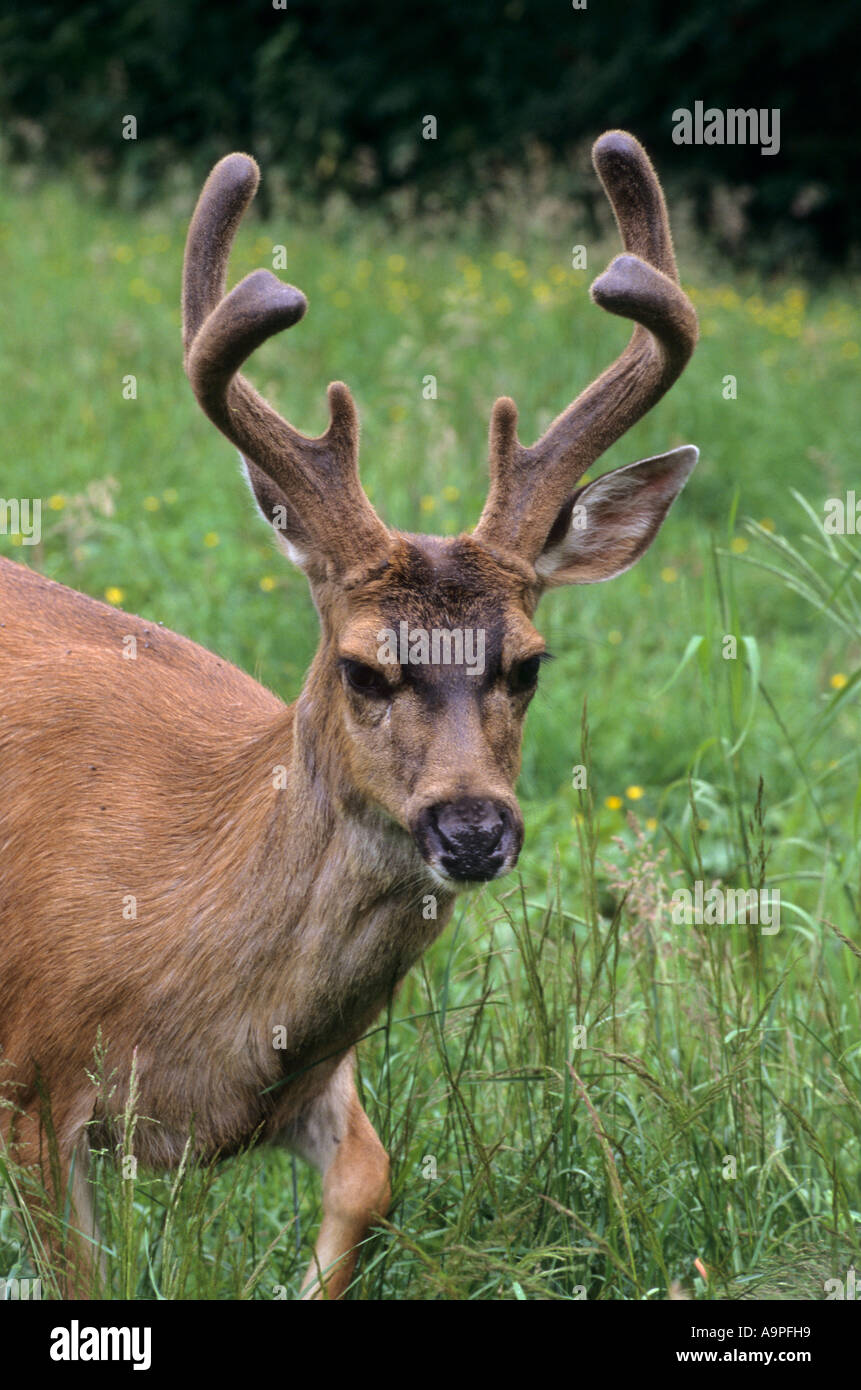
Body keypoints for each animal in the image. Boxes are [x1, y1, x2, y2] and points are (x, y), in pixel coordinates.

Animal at [0, 130, 698, 1299]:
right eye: (365, 669)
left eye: (529, 664)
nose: (473, 827)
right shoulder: (32, 1080)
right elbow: (84, 1279)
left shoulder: (317, 1079)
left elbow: (371, 1181)